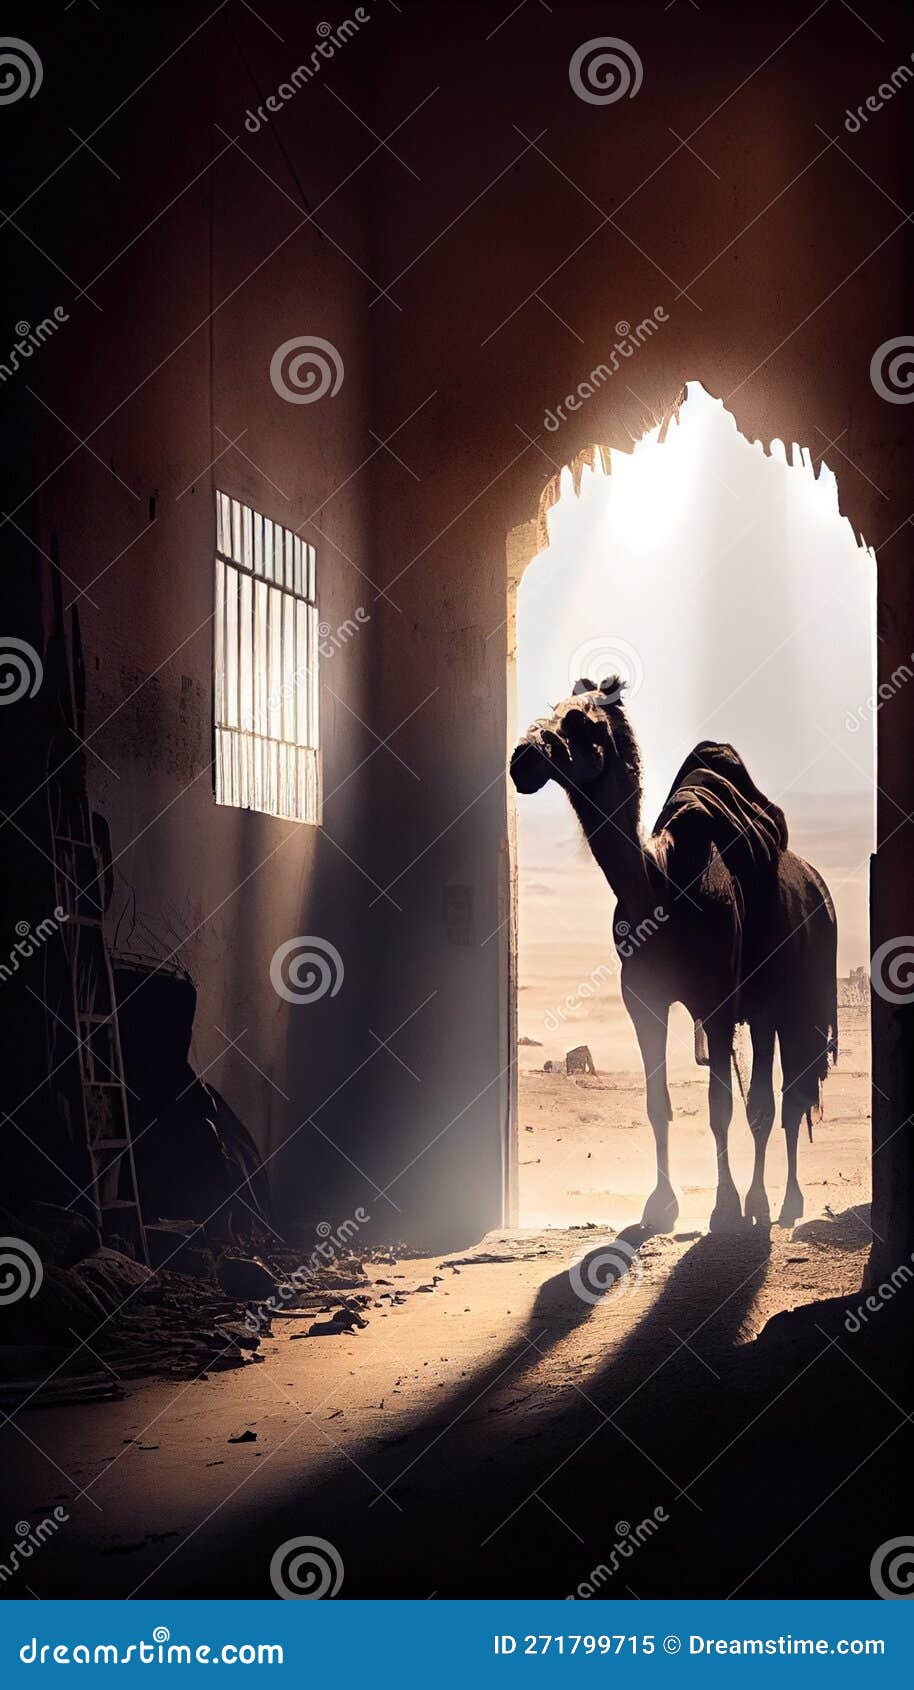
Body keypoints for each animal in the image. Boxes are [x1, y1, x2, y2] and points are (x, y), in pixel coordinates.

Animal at [510, 676, 838, 1234]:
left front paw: (724, 1209)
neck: (660, 889)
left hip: (790, 1005)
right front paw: (661, 1205)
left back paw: (778, 1204)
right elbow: (656, 1102)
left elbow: (720, 1106)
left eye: (580, 721)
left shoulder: (719, 1005)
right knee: (774, 1100)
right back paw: (769, 1203)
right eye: (553, 709)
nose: (522, 760)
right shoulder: (643, 1001)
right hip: (765, 1011)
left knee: (785, 1100)